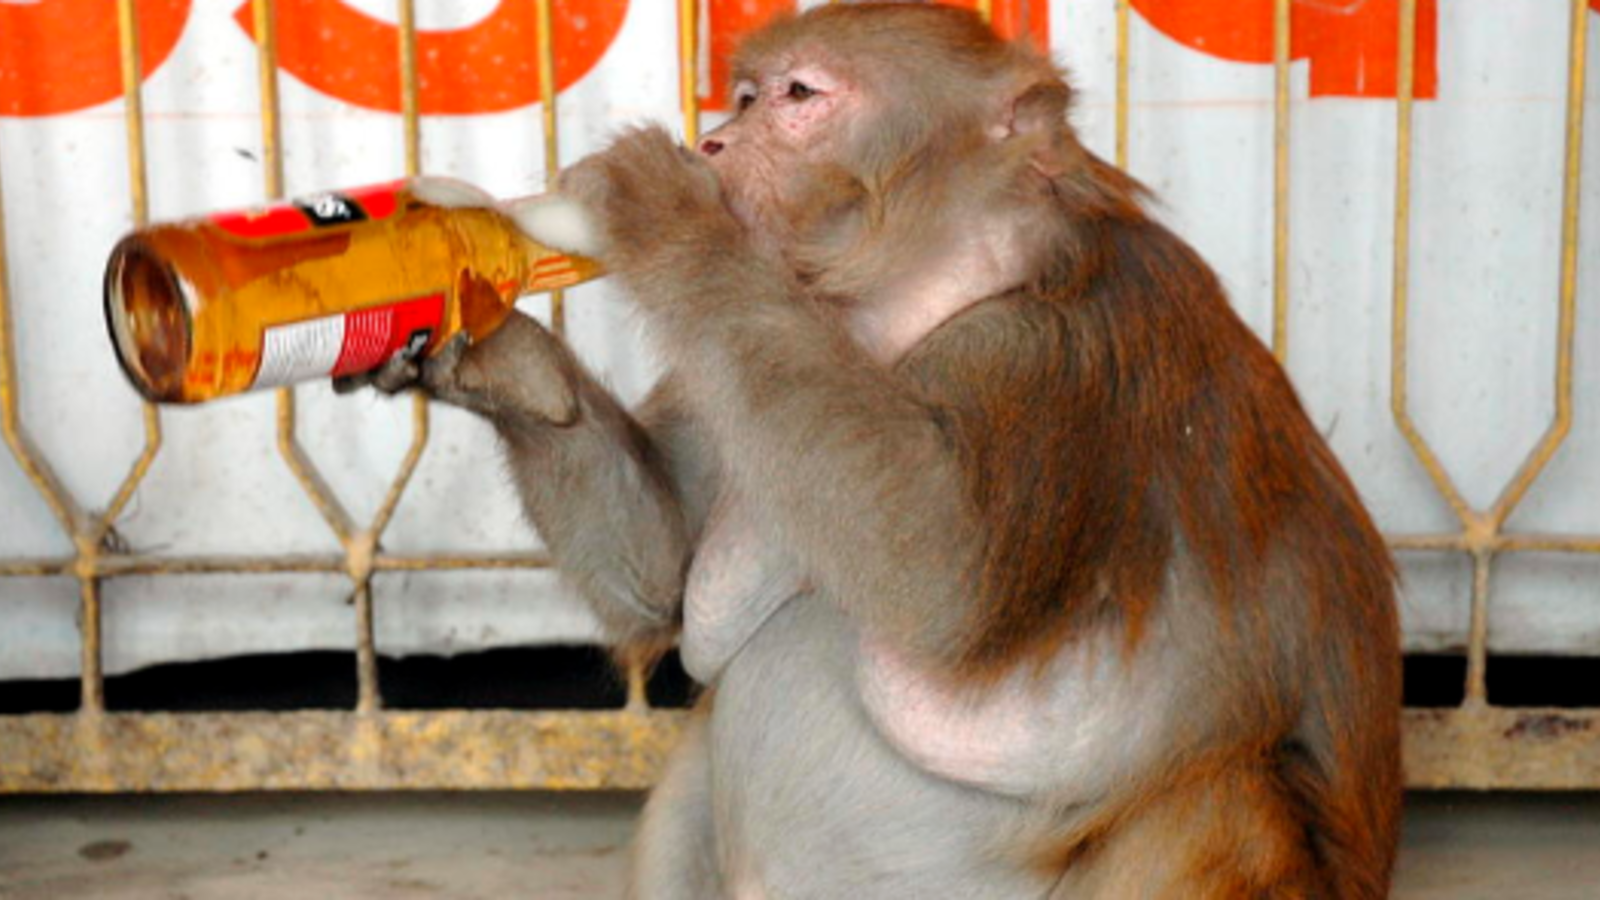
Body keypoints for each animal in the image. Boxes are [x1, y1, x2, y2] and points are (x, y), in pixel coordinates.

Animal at [348, 3, 1402, 897]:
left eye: (799, 96)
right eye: (745, 94)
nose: (716, 142)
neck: (926, 287)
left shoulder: (1055, 358)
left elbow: (941, 575)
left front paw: (663, 212)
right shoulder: (744, 347)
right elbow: (664, 577)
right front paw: (487, 336)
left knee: (1219, 807)